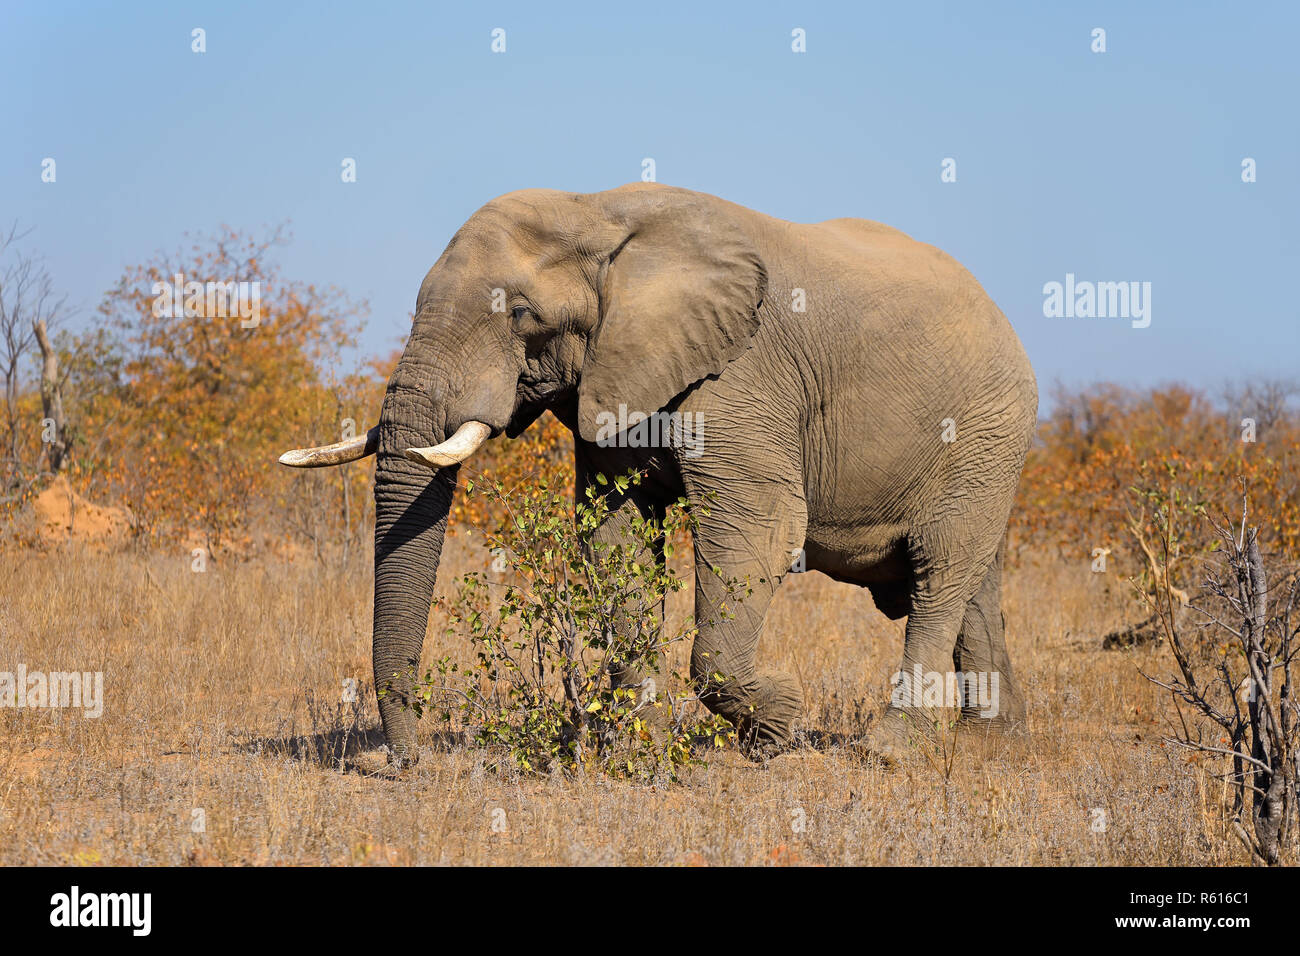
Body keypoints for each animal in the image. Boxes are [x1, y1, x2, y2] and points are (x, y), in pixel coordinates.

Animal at [280, 183, 1038, 765]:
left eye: (520, 313)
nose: (405, 762)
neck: (596, 211)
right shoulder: (614, 377)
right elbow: (612, 535)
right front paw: (630, 749)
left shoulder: (743, 375)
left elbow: (760, 529)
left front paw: (779, 728)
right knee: (971, 578)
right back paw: (993, 741)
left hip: (989, 429)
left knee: (941, 568)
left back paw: (892, 750)